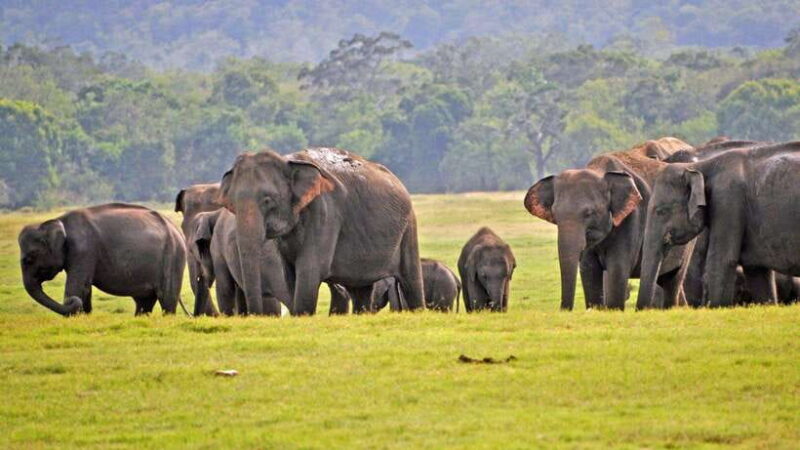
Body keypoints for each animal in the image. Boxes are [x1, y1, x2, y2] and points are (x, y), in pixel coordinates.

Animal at [18, 203, 186, 316]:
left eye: (29, 259)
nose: (72, 301)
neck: (58, 221)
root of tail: (176, 229)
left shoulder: (83, 250)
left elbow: (78, 286)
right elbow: (85, 288)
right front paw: (84, 315)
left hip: (172, 257)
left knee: (167, 300)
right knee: (144, 302)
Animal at [217, 148, 424, 316]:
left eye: (268, 200)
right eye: (231, 203)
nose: (254, 314)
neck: (287, 160)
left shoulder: (325, 213)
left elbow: (309, 270)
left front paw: (302, 316)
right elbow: (290, 275)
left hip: (408, 227)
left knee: (411, 280)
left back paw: (417, 310)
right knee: (360, 290)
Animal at [524, 137, 694, 310]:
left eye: (589, 213)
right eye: (555, 215)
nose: (565, 310)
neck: (599, 170)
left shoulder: (632, 218)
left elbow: (616, 269)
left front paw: (613, 309)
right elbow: (589, 270)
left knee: (673, 280)